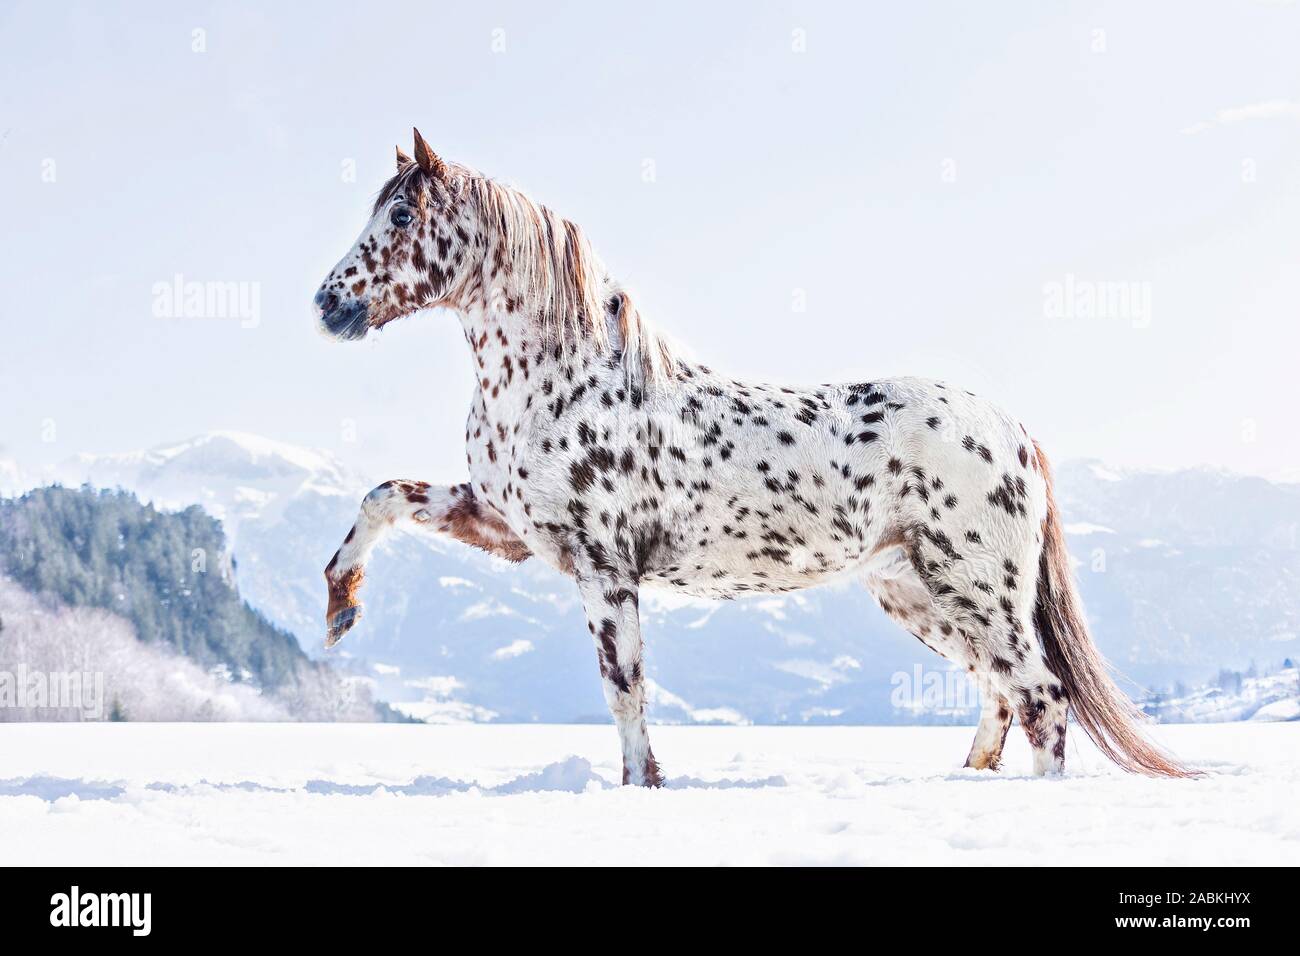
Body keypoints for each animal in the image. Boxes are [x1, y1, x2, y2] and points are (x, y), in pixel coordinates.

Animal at [314, 129, 1192, 785]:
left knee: (1042, 695)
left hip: (977, 587)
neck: (561, 379)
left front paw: (639, 790)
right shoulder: (511, 529)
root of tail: (1014, 431)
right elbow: (384, 496)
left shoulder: (605, 568)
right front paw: (340, 606)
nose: (328, 303)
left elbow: (625, 693)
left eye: (401, 213)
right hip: (918, 592)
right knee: (1000, 693)